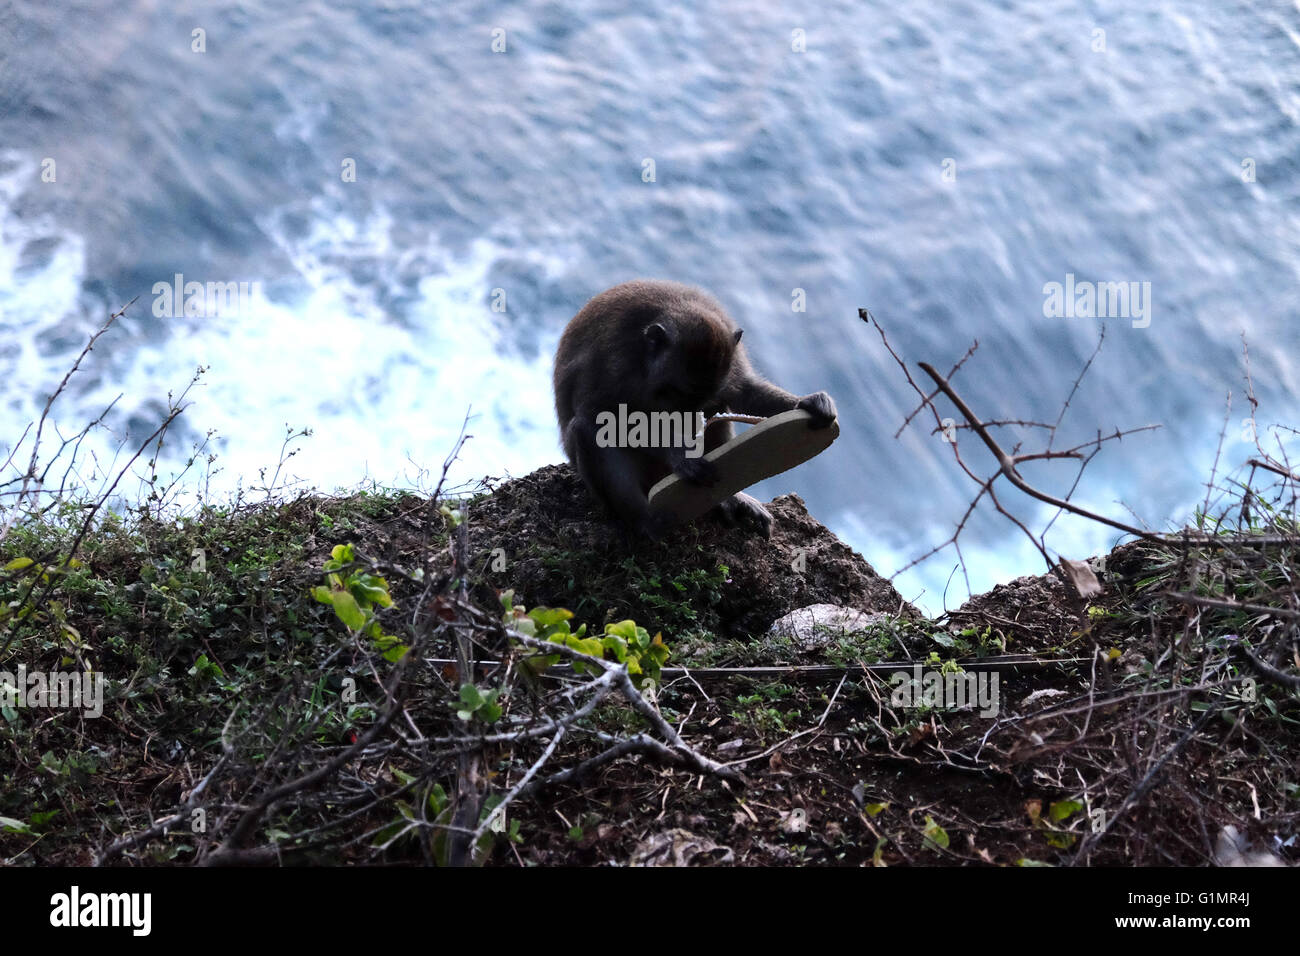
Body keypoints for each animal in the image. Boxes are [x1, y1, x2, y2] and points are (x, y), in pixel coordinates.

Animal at [553, 279, 836, 538]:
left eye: (702, 399)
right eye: (674, 393)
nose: (688, 424)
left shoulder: (730, 358)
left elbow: (745, 392)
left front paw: (807, 403)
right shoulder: (613, 362)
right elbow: (602, 415)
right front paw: (680, 454)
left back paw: (729, 497)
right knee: (585, 428)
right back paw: (648, 519)